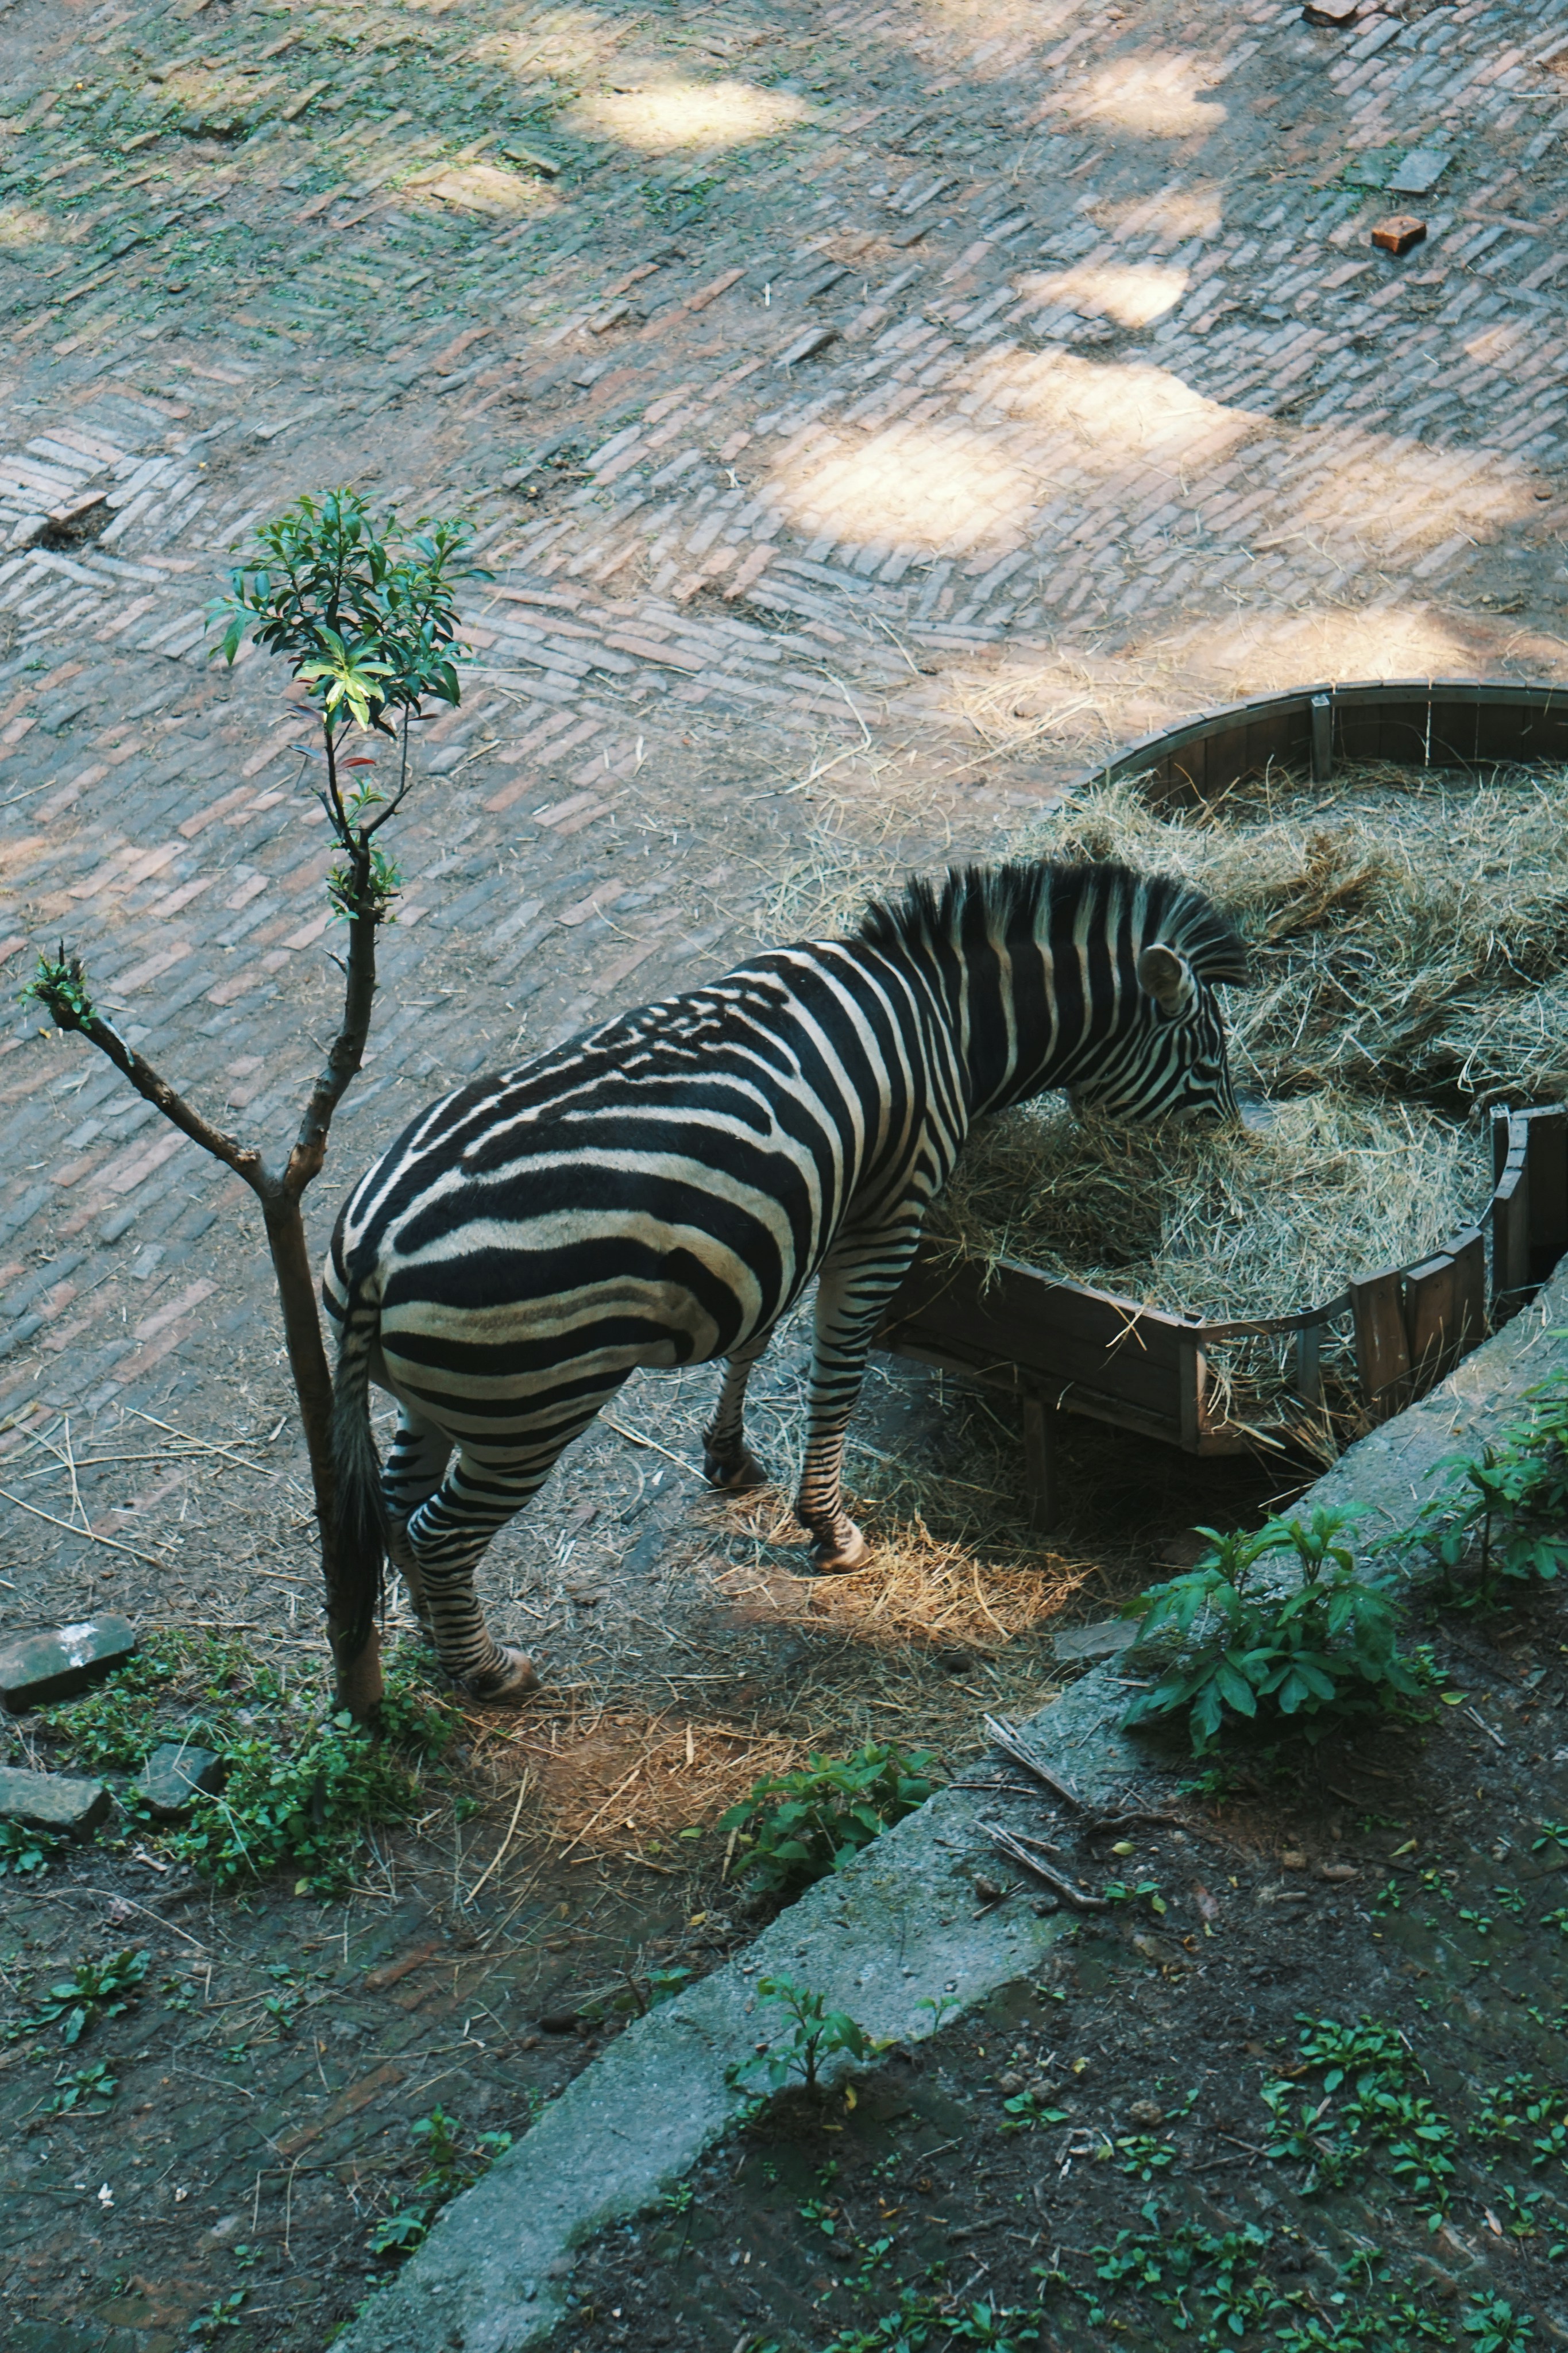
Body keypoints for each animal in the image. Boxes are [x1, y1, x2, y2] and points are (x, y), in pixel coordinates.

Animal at [324, 857, 1247, 1702]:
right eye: (1210, 1053)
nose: (1237, 1144)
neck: (944, 1013)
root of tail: (374, 1248)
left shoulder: (781, 1224)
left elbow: (755, 1337)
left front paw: (729, 1458)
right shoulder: (884, 1211)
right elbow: (836, 1372)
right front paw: (829, 1531)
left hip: (443, 1398)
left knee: (399, 1506)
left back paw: (435, 1642)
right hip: (528, 1411)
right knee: (440, 1532)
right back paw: (490, 1672)